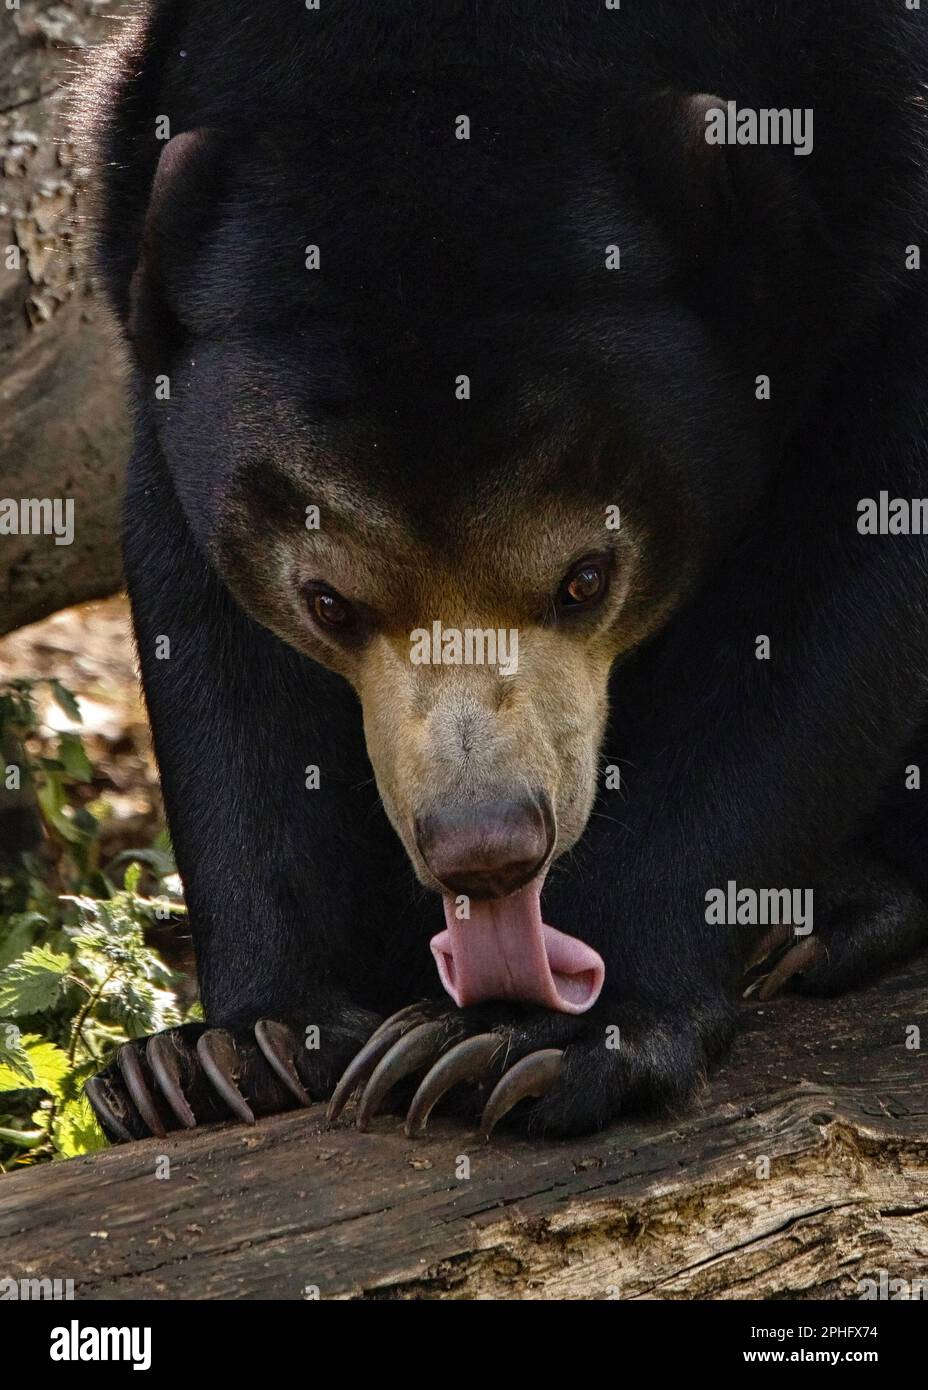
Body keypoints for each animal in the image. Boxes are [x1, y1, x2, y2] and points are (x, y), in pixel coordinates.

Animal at [83, 0, 928, 1142]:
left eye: (586, 578)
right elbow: (207, 628)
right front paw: (230, 1050)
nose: (485, 853)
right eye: (327, 600)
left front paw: (527, 1039)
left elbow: (839, 603)